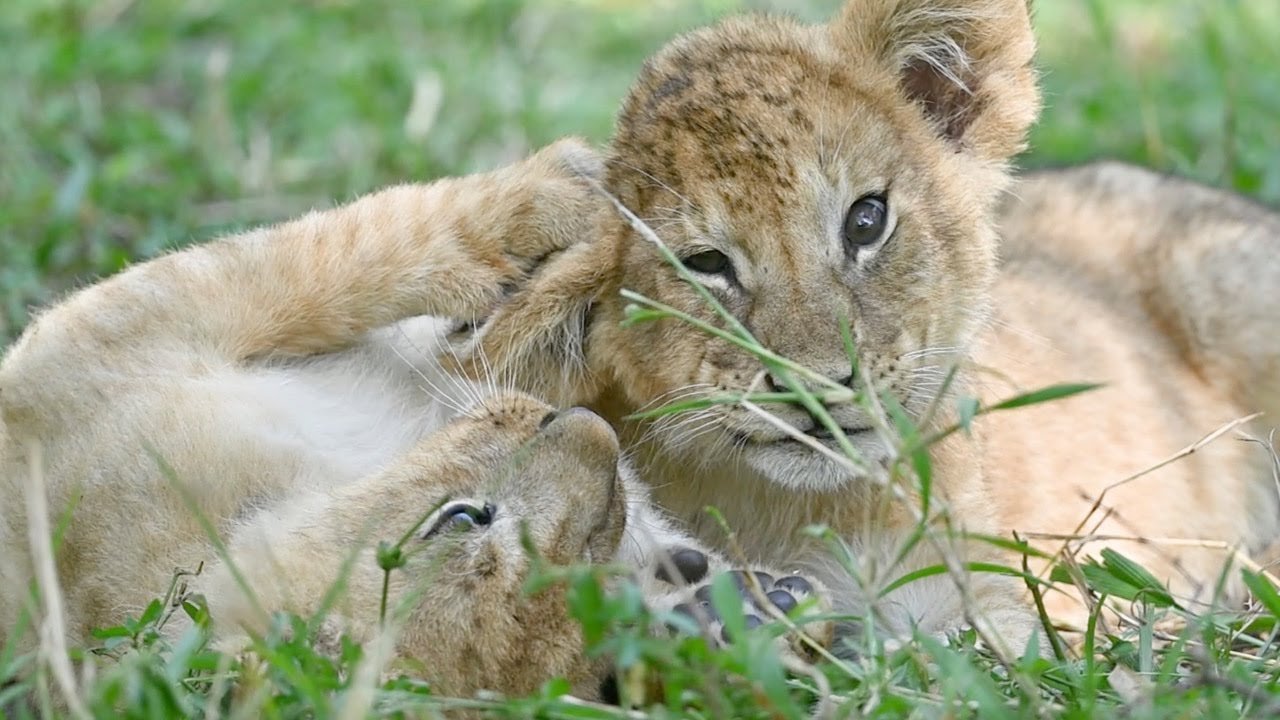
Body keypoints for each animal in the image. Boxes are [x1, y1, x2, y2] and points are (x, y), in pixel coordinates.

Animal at [0, 140, 830, 703]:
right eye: (463, 519)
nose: (591, 434)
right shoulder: (110, 345)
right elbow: (371, 242)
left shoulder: (89, 347)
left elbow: (368, 264)